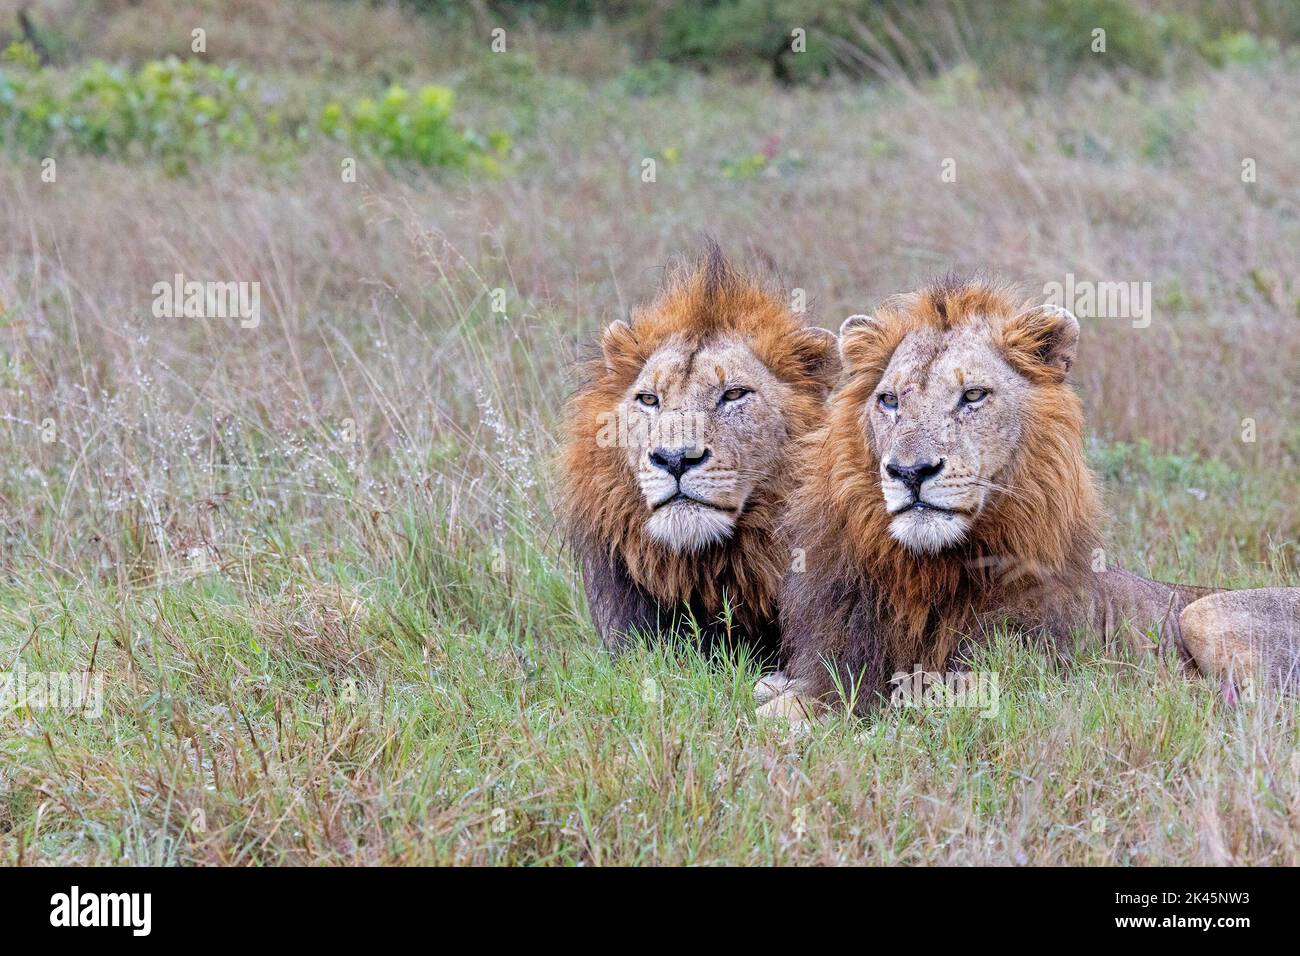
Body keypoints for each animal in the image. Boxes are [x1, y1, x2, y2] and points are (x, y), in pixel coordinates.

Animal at [758, 277, 1299, 721]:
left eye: (973, 395)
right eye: (889, 400)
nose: (910, 472)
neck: (925, 572)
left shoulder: (1016, 673)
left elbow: (907, 700)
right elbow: (783, 703)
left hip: (1203, 614)